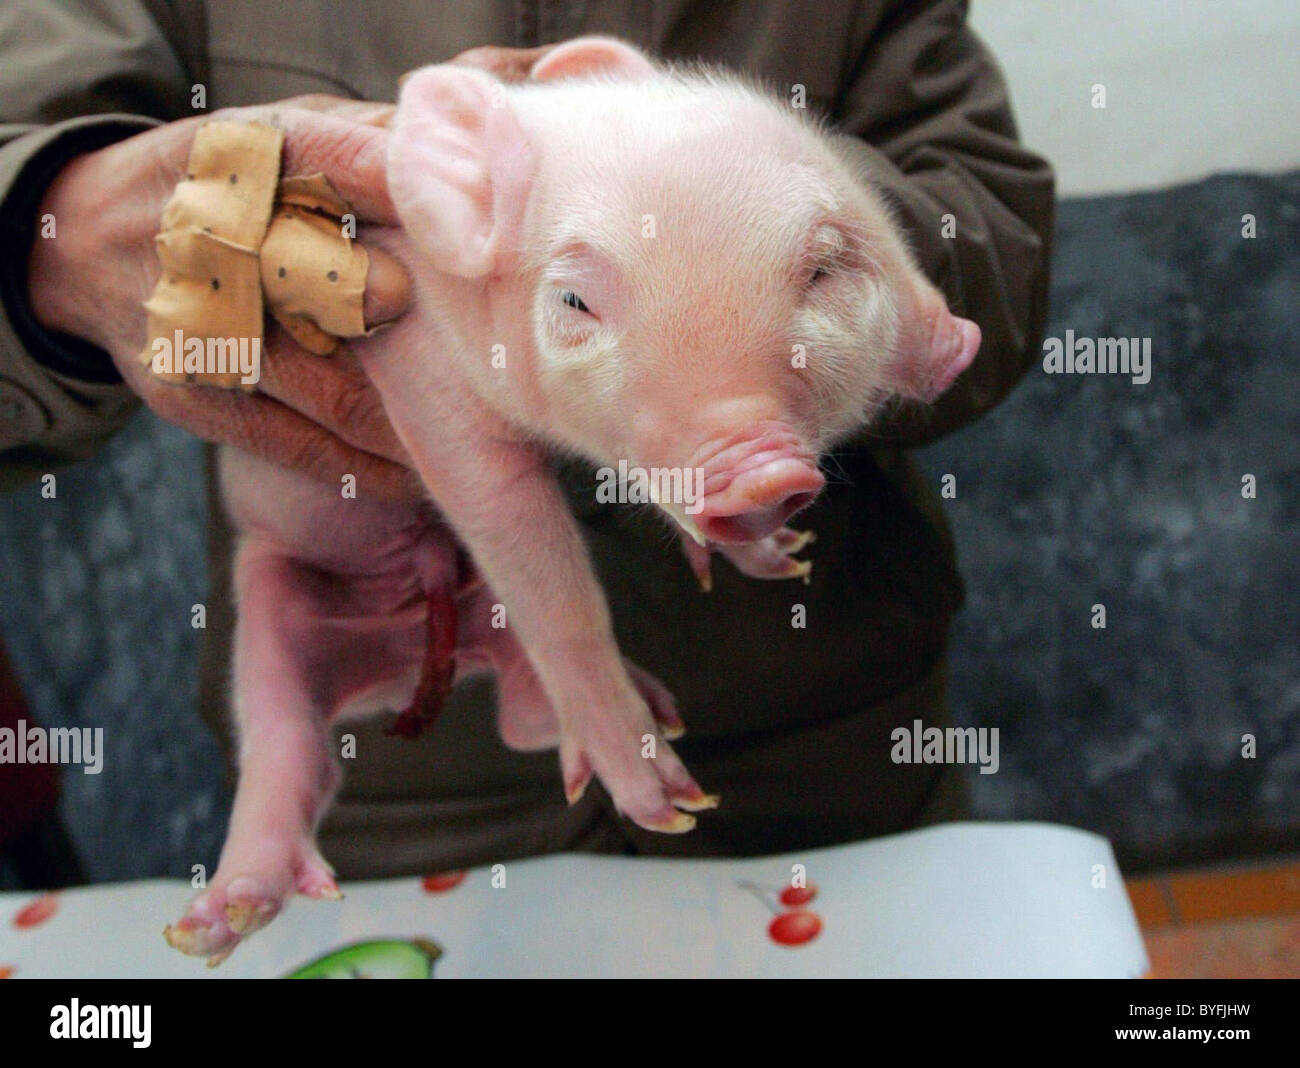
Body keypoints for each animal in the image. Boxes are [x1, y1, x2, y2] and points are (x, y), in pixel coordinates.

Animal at [164, 36, 979, 964]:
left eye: (825, 267)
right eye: (574, 300)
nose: (764, 470)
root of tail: (431, 649)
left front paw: (782, 559)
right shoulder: (413, 371)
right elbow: (550, 586)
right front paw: (672, 809)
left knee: (519, 718)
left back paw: (655, 710)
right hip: (272, 584)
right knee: (289, 741)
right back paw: (213, 924)